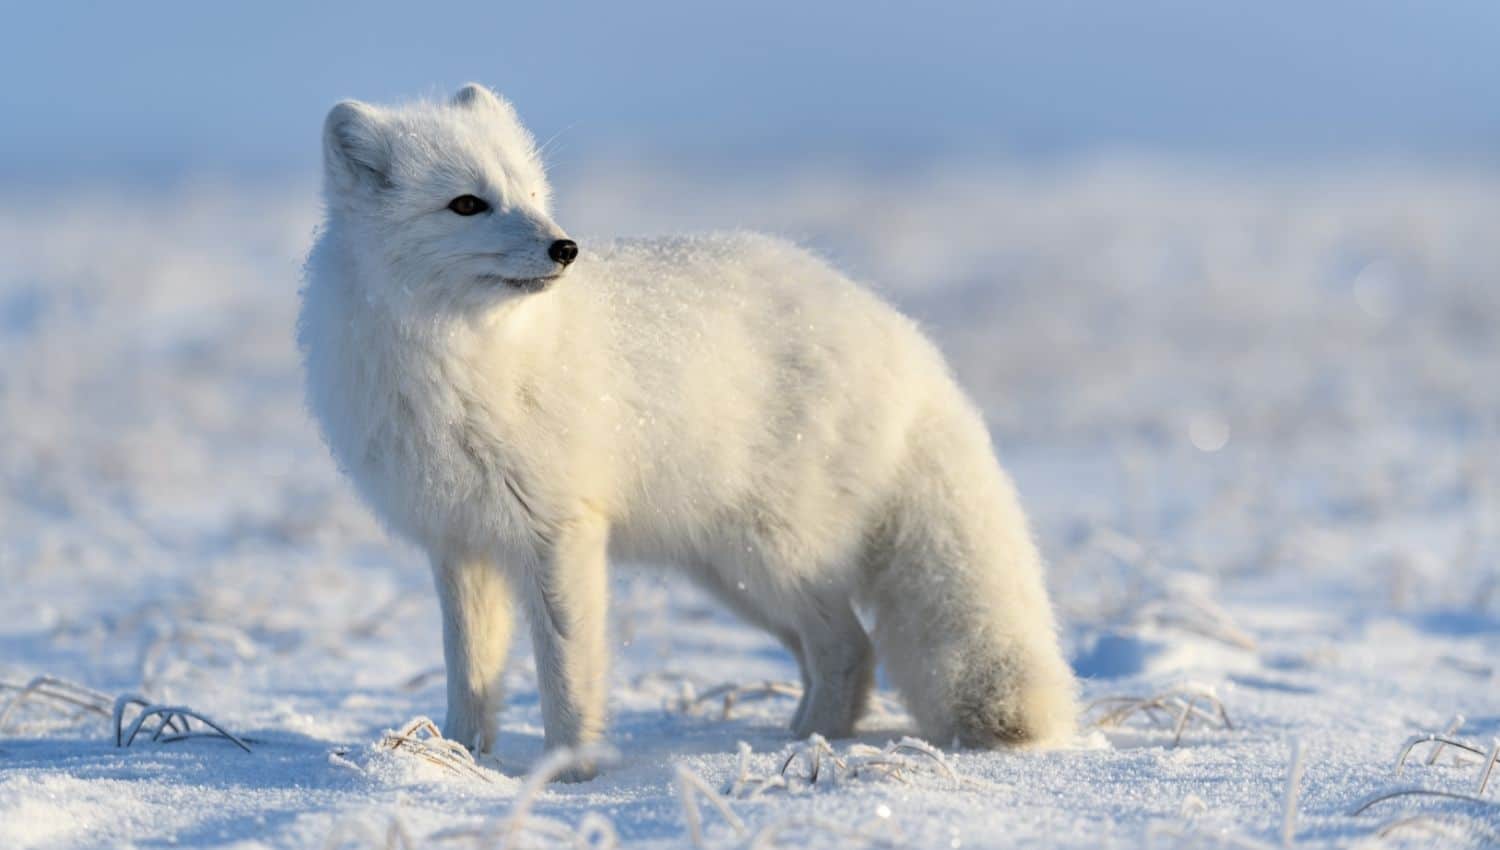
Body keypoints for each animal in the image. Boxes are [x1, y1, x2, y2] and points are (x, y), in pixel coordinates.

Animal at [298, 83, 1078, 780]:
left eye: (532, 194)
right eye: (467, 203)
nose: (565, 248)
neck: (463, 357)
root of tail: (905, 339)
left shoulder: (559, 531)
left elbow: (568, 673)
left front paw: (570, 774)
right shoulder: (459, 543)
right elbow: (470, 674)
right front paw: (457, 759)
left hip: (773, 556)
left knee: (850, 647)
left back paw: (803, 747)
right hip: (733, 576)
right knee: (835, 652)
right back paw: (793, 737)